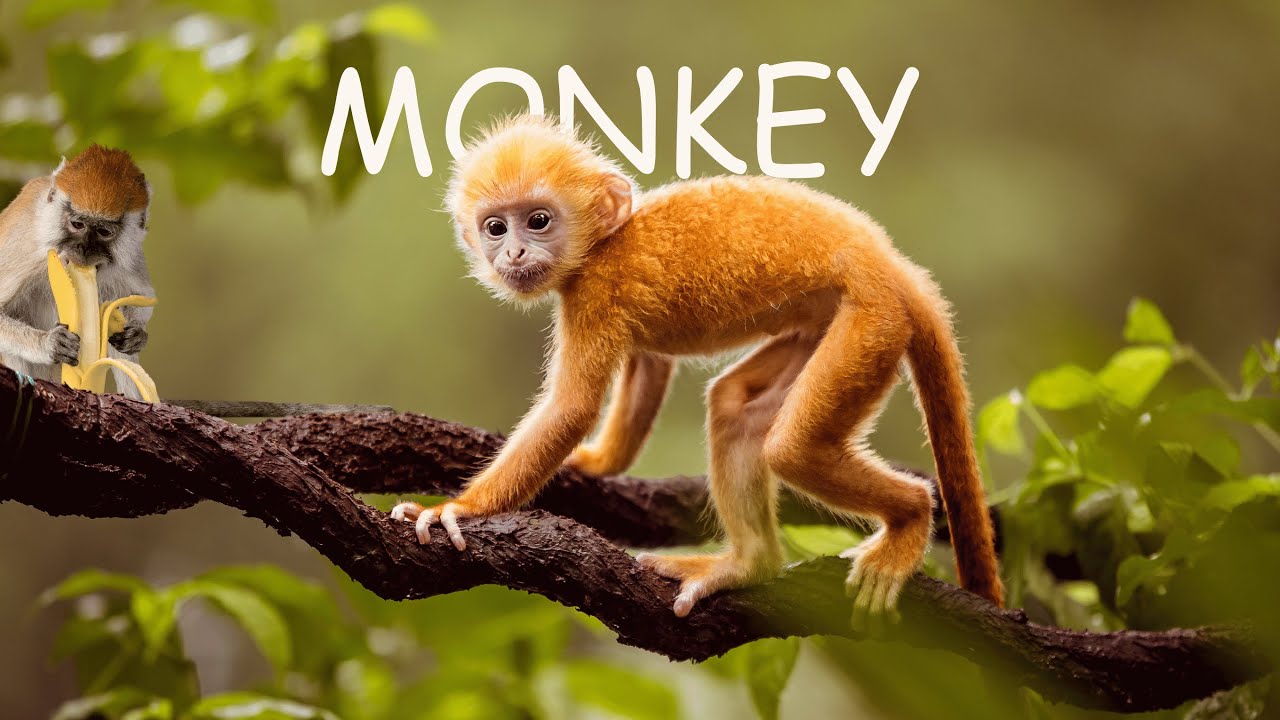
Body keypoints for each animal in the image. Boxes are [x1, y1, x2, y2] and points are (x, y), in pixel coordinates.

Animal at [0, 146, 155, 398]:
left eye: (103, 231)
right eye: (78, 224)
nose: (83, 249)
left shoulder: (131, 255)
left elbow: (143, 297)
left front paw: (137, 335)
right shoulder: (26, 246)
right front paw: (49, 343)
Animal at [390, 114, 1003, 621]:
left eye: (538, 221)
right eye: (496, 228)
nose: (512, 253)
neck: (604, 242)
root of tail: (894, 266)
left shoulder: (597, 292)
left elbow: (572, 408)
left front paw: (458, 509)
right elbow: (649, 364)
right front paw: (594, 462)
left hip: (872, 321)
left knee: (793, 449)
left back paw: (910, 518)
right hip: (832, 323)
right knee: (736, 408)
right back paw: (750, 564)